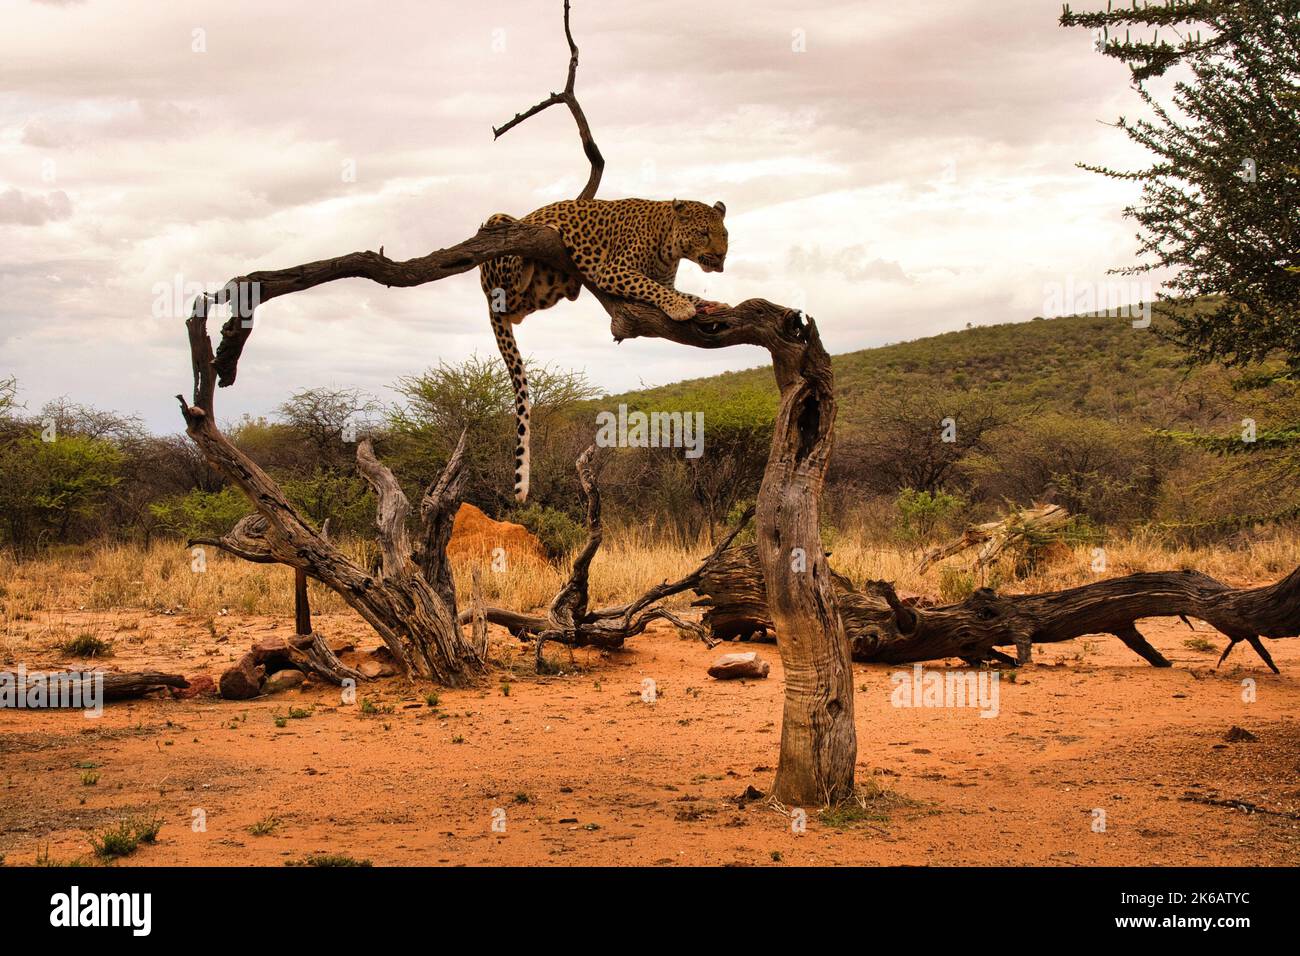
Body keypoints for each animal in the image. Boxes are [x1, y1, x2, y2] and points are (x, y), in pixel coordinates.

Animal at [478, 197, 730, 501]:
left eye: (724, 234)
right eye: (703, 233)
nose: (721, 258)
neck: (669, 245)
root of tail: (486, 296)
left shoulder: (664, 280)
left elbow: (683, 293)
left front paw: (713, 305)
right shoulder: (613, 271)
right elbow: (651, 286)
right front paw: (680, 307)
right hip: (497, 230)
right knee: (514, 266)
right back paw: (540, 233)